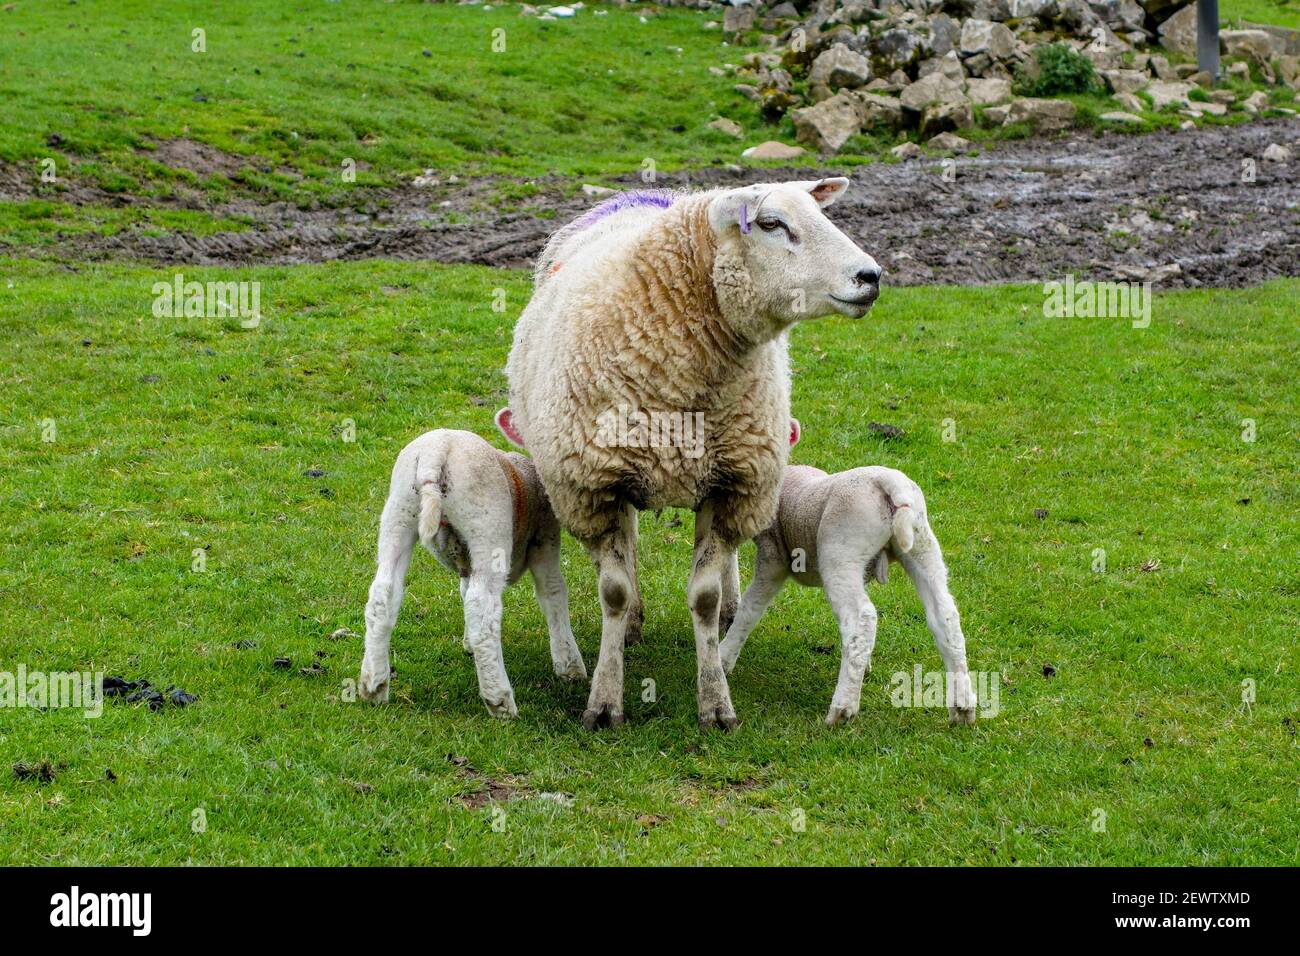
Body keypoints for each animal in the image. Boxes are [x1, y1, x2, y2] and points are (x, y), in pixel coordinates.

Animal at [356, 429, 587, 718]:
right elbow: (553, 592)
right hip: (487, 525)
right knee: (482, 607)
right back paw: (499, 698)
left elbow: (464, 589)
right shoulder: (545, 539)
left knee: (383, 593)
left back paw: (374, 687)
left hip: (398, 514)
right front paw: (570, 665)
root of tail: (435, 451)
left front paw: (468, 644)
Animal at [505, 179, 881, 730]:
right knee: (628, 543)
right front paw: (604, 701)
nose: (871, 277)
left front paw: (716, 704)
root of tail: (657, 195)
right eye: (771, 223)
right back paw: (632, 622)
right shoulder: (596, 487)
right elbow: (613, 591)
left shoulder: (734, 486)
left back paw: (729, 607)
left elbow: (703, 598)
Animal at [718, 459, 977, 727]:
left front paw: (725, 656)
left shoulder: (773, 557)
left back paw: (843, 708)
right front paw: (866, 664)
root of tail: (893, 484)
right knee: (944, 615)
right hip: (922, 545)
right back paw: (962, 707)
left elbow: (750, 607)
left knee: (862, 618)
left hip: (841, 550)